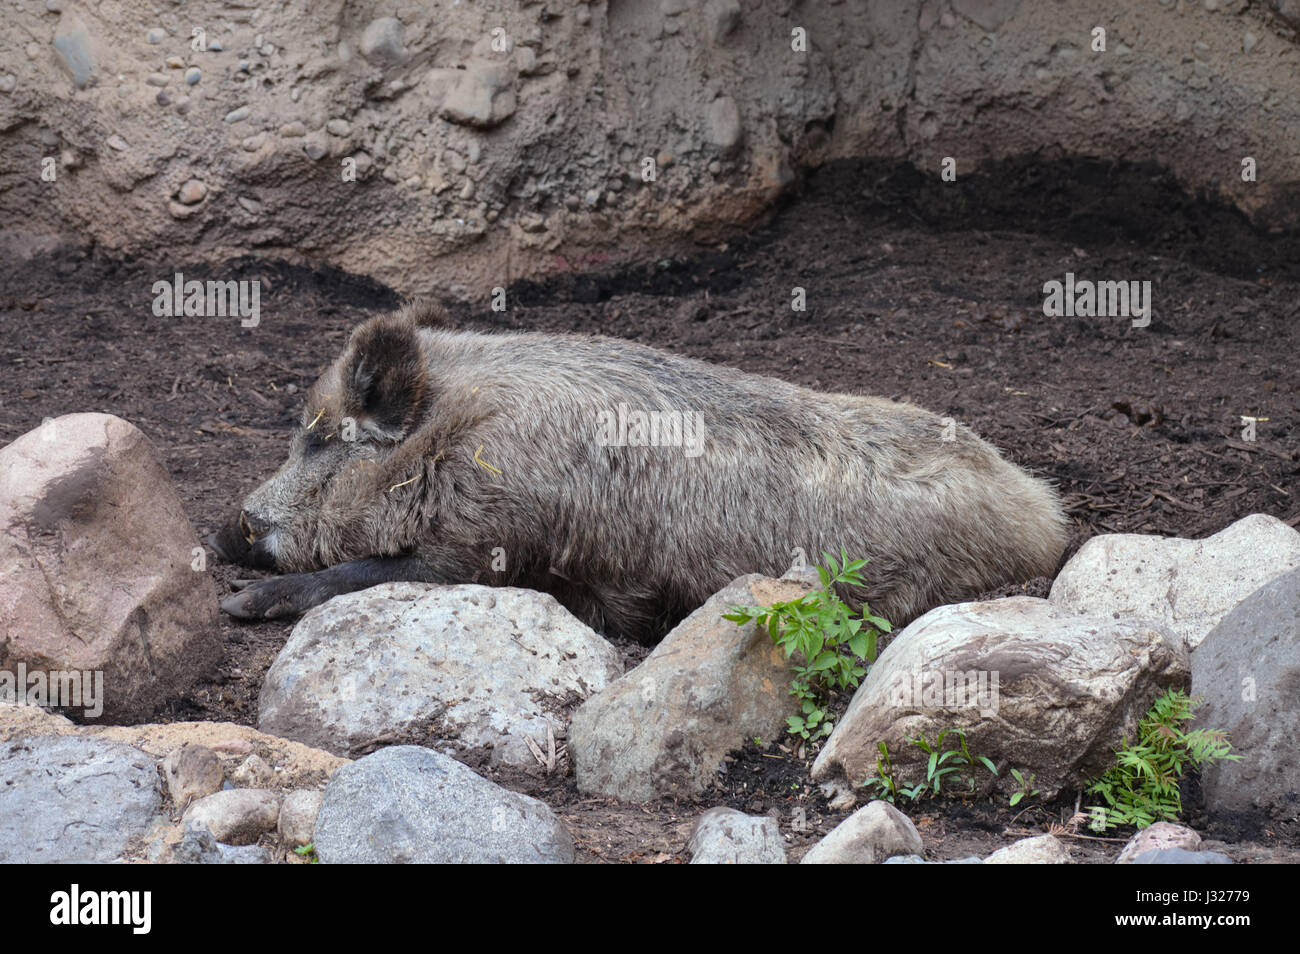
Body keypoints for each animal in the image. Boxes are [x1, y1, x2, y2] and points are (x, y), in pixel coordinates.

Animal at [210, 300, 1068, 641]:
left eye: (321, 439)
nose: (225, 530)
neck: (462, 437)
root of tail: (1048, 515)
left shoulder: (492, 546)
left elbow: (360, 573)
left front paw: (239, 606)